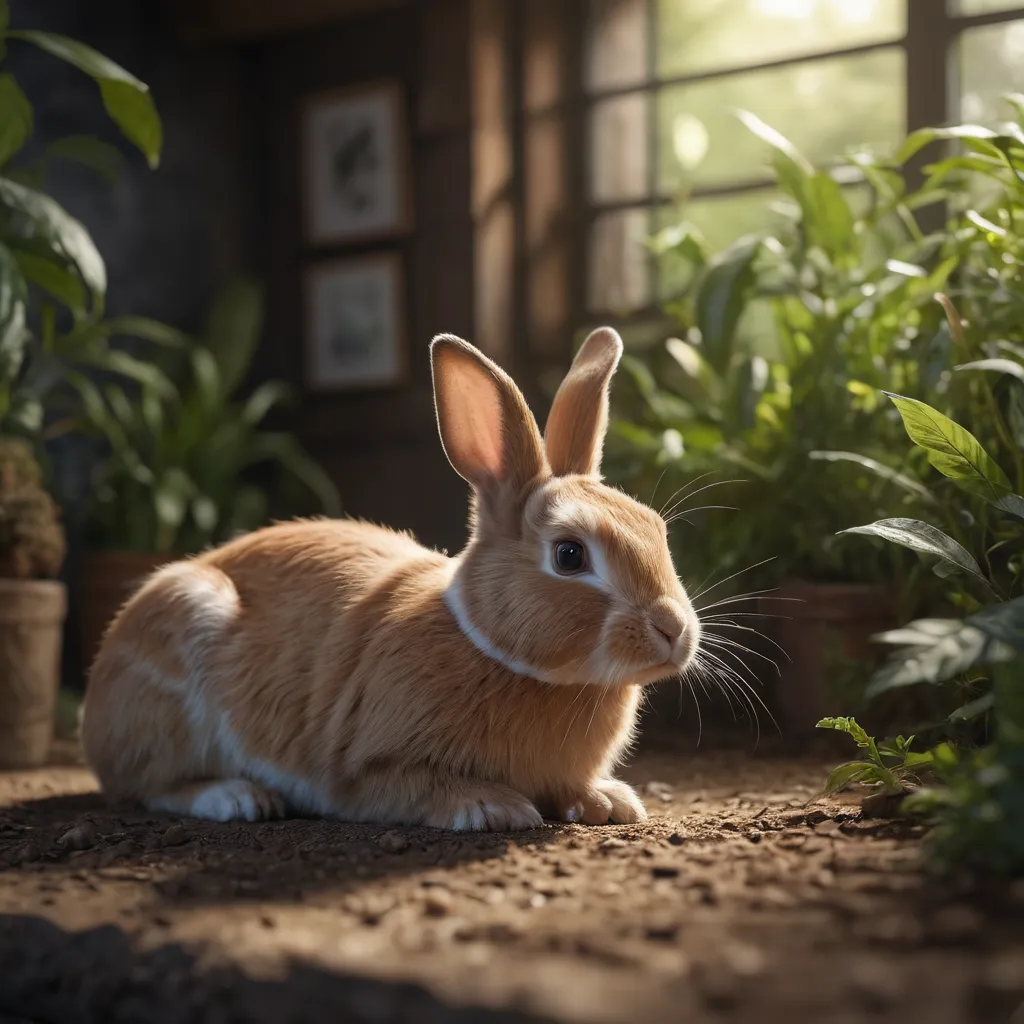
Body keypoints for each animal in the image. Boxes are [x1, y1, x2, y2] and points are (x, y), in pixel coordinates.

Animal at [80, 327, 701, 831]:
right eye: (570, 555)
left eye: (656, 529)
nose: (674, 630)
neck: (494, 648)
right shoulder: (367, 766)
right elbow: (413, 785)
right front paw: (490, 807)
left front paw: (607, 802)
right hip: (178, 656)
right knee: (149, 785)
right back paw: (238, 798)